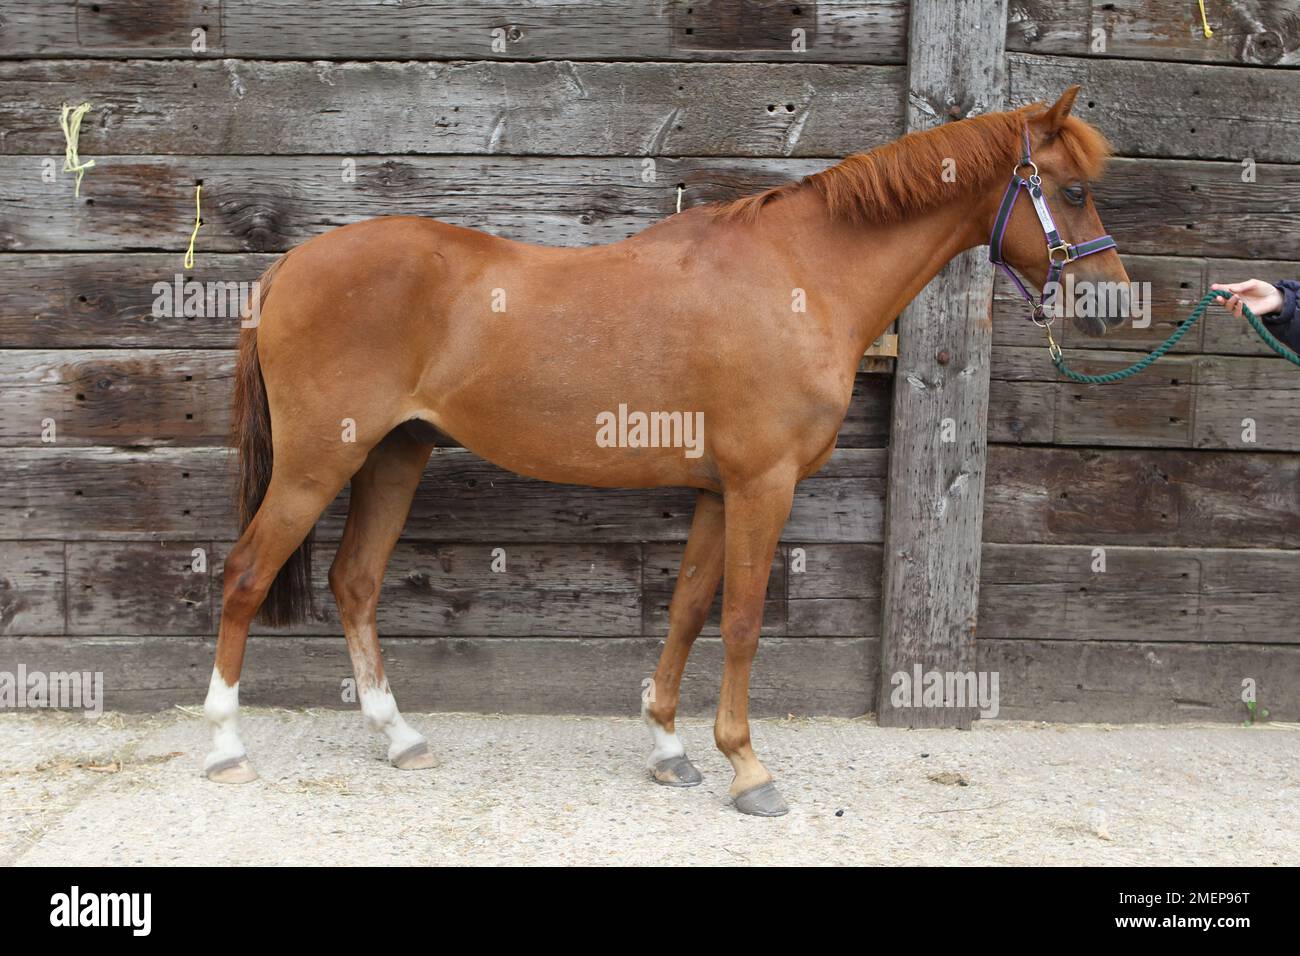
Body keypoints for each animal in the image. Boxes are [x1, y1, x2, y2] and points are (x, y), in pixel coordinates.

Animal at [202, 86, 1129, 816]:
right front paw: (748, 769)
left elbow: (686, 610)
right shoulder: (763, 486)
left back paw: (399, 739)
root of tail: (289, 265)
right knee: (245, 575)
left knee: (354, 583)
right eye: (1075, 189)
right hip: (319, 463)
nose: (1116, 300)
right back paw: (224, 748)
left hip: (396, 454)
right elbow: (744, 621)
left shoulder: (719, 491)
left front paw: (670, 751)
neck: (799, 276)